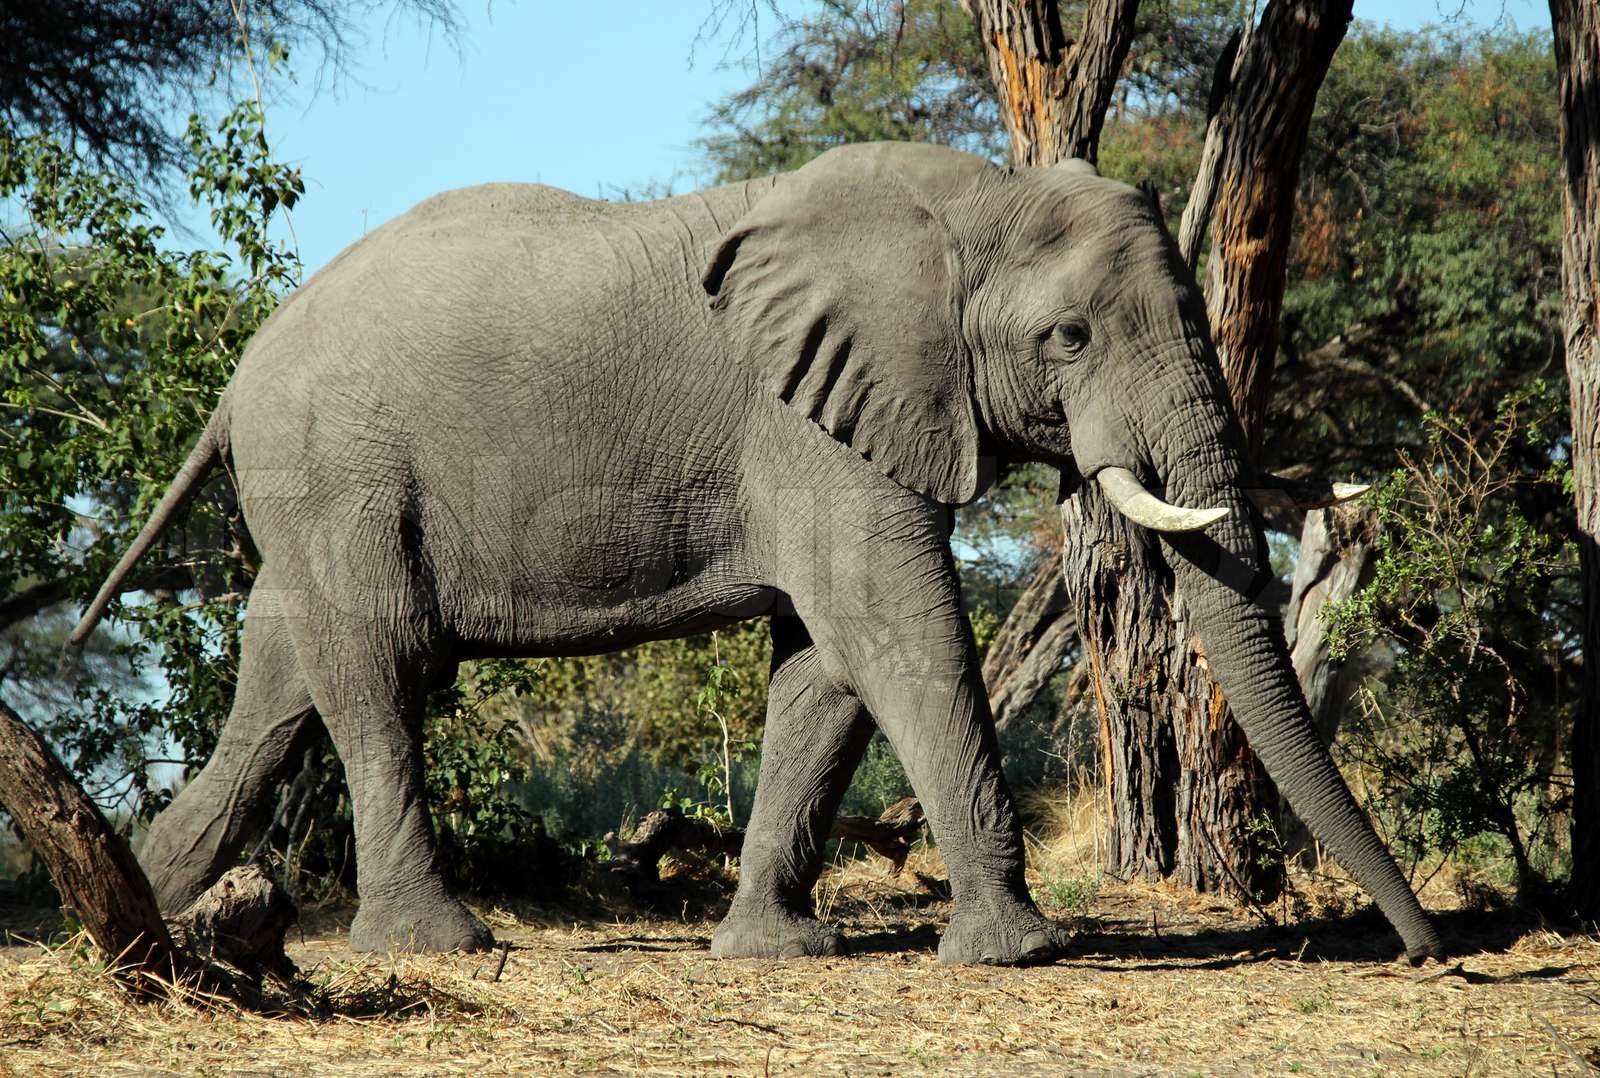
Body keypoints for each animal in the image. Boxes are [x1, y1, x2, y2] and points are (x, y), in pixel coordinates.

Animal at [67, 141, 1445, 965]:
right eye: (1068, 337)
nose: (1429, 949)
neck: (968, 204)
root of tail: (243, 363)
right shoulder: (814, 423)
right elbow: (895, 628)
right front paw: (1019, 953)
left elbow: (823, 669)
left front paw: (775, 953)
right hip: (336, 466)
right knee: (379, 666)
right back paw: (435, 945)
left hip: (310, 489)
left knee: (279, 682)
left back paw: (136, 902)